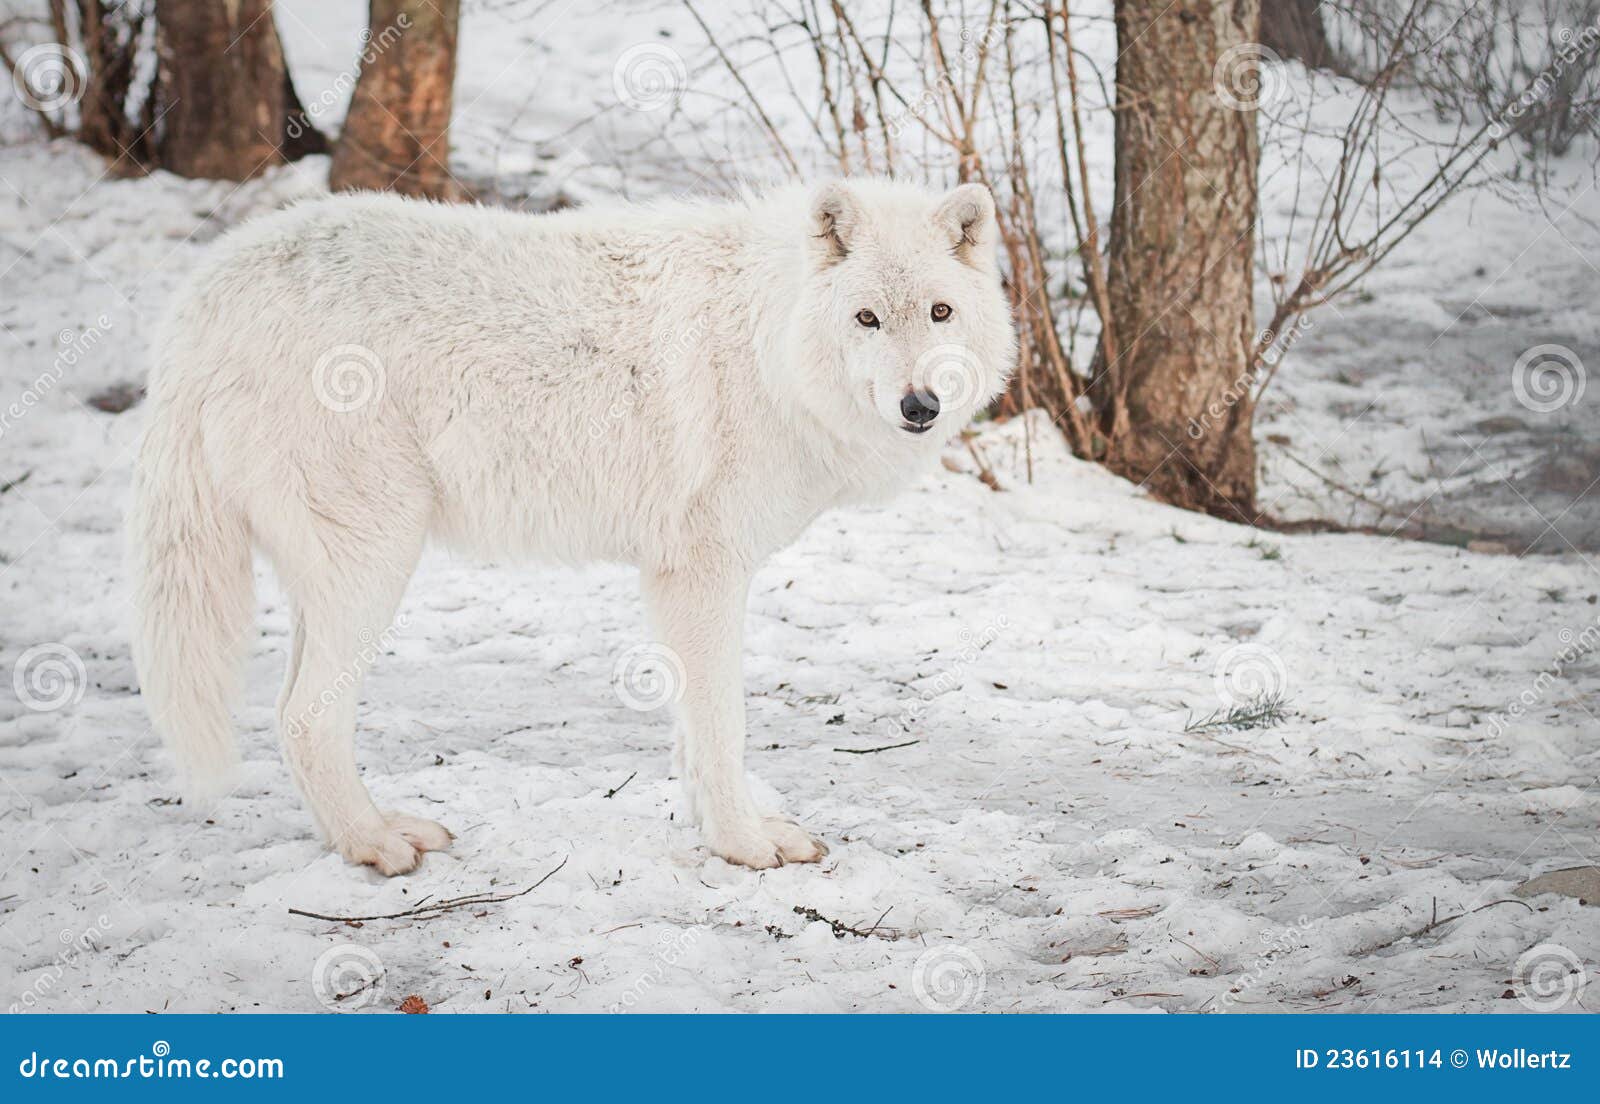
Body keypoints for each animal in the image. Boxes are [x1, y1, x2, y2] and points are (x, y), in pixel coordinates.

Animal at [130, 178, 1016, 873]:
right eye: (867, 319)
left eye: (939, 311)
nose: (919, 405)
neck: (767, 346)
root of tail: (200, 299)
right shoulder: (704, 571)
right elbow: (723, 725)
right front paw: (744, 845)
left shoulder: (674, 578)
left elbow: (692, 735)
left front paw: (716, 830)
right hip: (375, 561)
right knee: (304, 718)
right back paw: (376, 845)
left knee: (290, 714)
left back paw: (358, 835)